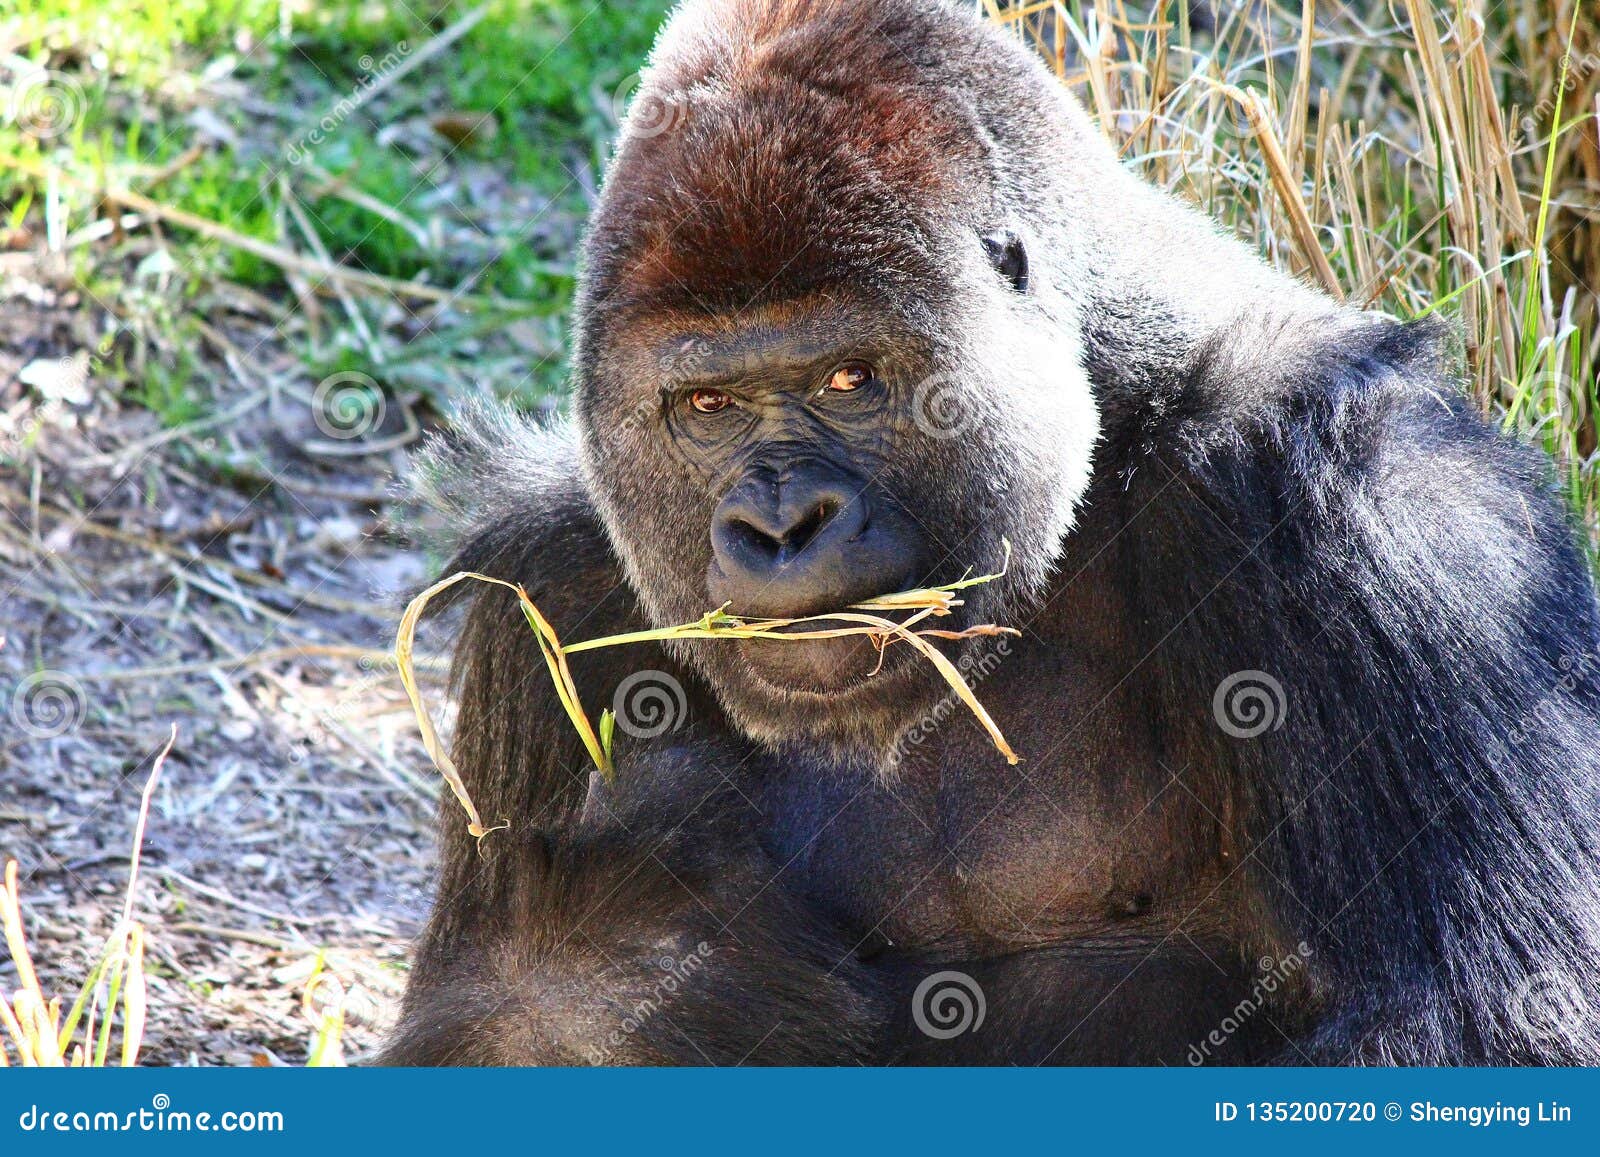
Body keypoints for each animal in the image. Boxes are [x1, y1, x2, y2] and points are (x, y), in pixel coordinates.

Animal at [381, 0, 1600, 1066]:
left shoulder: (1350, 490)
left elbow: (1497, 1017)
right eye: (707, 405)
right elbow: (504, 1012)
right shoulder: (549, 576)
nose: (778, 526)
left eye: (849, 379)